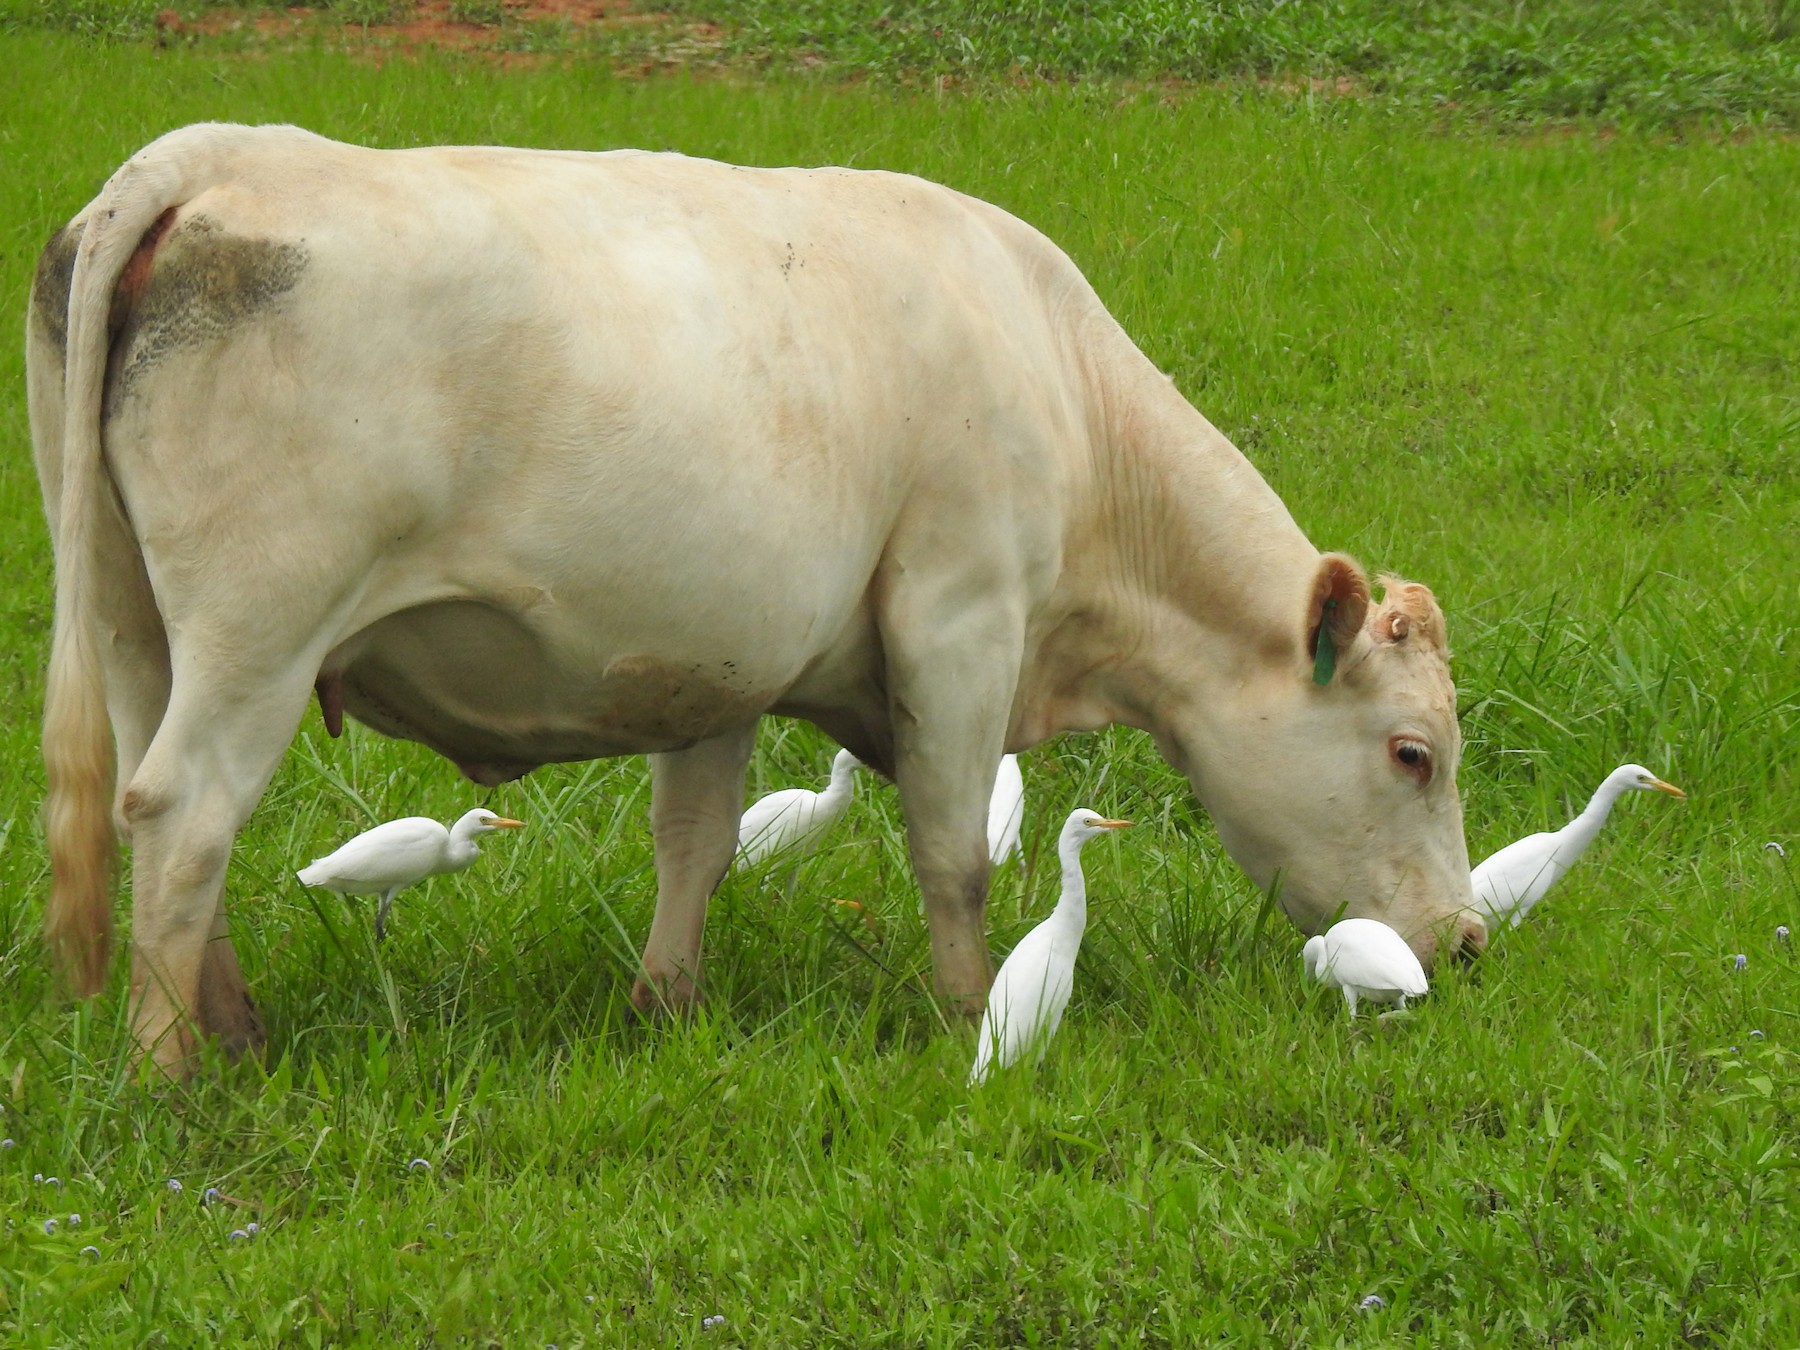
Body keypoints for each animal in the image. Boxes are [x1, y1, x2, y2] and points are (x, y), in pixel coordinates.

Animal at [28, 123, 1484, 1075]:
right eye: (1412, 751)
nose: (1465, 942)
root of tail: (213, 155)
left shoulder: (719, 655)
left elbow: (697, 841)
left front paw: (664, 1009)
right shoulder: (959, 614)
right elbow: (952, 849)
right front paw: (965, 1015)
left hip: (132, 623)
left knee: (156, 813)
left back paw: (236, 1028)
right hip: (259, 633)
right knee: (186, 815)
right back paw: (176, 1071)